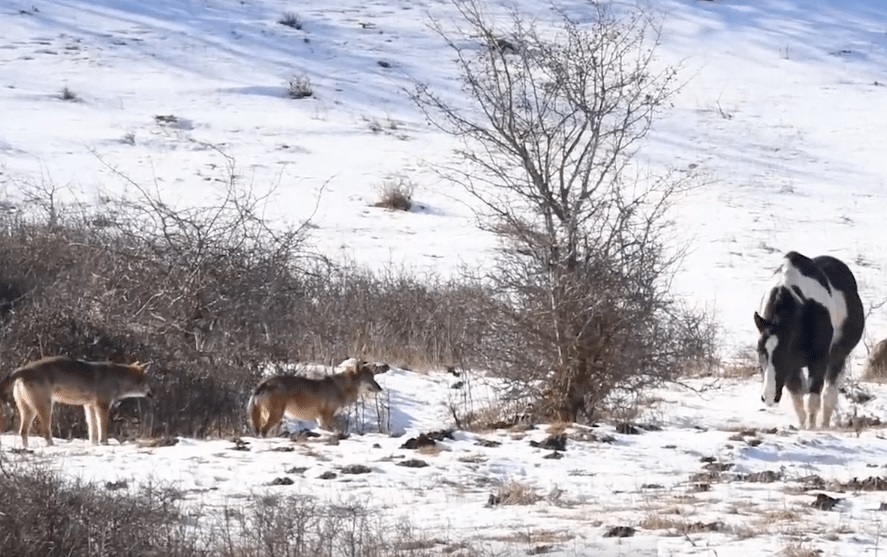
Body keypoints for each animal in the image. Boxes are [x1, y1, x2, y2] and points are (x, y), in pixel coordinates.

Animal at [0, 355, 154, 448]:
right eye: (149, 382)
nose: (153, 394)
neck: (118, 379)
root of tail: (23, 369)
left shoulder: (89, 406)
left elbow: (93, 430)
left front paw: (94, 445)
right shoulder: (102, 406)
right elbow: (102, 429)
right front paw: (104, 444)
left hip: (29, 410)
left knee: (22, 431)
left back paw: (26, 448)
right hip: (46, 408)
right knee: (45, 431)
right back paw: (52, 446)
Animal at [247, 359, 390, 436]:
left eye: (374, 377)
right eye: (370, 379)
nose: (380, 388)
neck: (341, 388)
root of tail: (262, 384)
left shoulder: (320, 420)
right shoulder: (326, 417)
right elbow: (337, 429)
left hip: (273, 418)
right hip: (276, 416)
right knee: (263, 431)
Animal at [753, 251, 864, 429]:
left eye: (784, 351)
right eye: (760, 351)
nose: (768, 397)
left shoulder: (818, 360)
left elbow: (813, 400)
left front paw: (812, 428)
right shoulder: (791, 368)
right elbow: (798, 401)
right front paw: (802, 427)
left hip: (838, 356)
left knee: (829, 393)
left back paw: (824, 424)